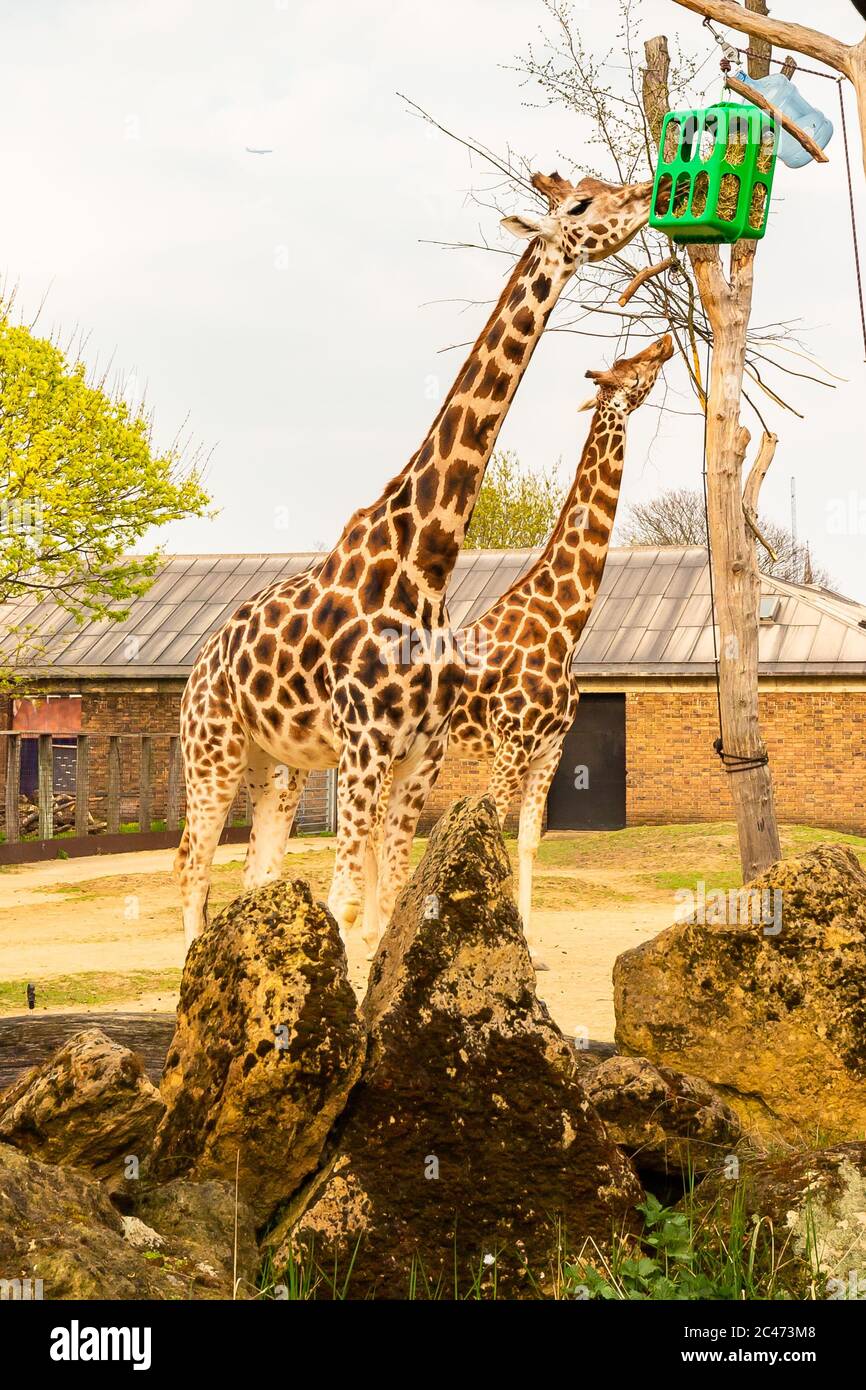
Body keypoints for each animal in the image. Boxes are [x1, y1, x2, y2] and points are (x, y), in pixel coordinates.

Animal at [176, 171, 654, 949]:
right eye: (580, 204)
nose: (647, 193)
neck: (426, 558)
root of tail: (200, 665)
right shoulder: (374, 746)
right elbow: (346, 902)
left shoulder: (421, 755)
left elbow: (396, 894)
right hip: (211, 749)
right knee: (191, 865)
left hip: (277, 767)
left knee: (256, 875)